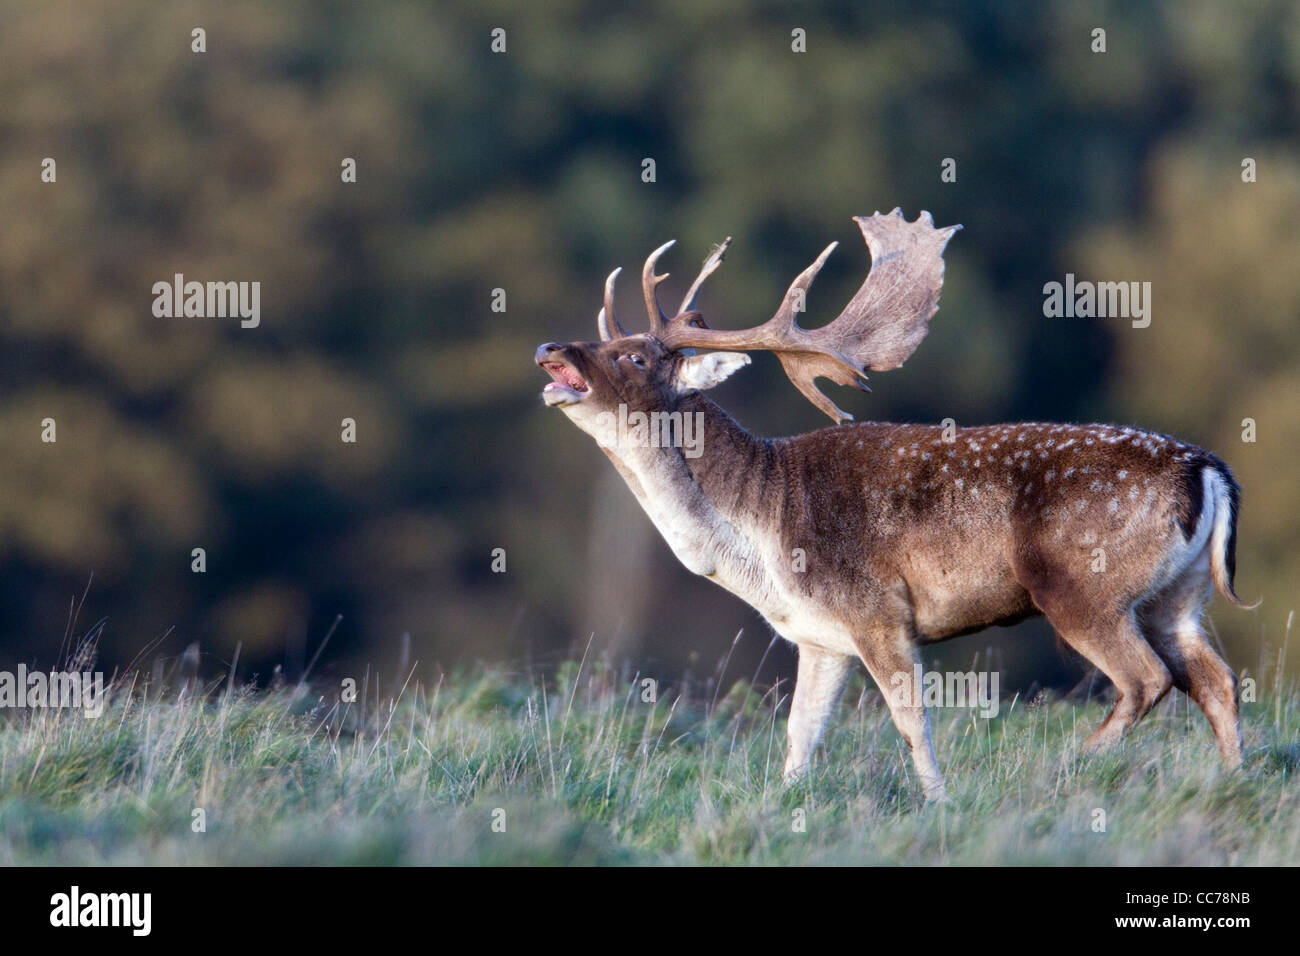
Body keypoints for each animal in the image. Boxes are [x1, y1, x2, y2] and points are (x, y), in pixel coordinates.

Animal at [535, 210, 1249, 801]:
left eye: (632, 356)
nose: (549, 347)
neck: (764, 534)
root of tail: (1207, 472)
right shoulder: (820, 638)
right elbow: (801, 737)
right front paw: (785, 805)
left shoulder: (878, 612)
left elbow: (911, 723)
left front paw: (939, 801)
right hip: (1174, 595)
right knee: (1215, 680)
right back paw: (1235, 783)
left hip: (1083, 587)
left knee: (1147, 679)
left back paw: (1067, 768)